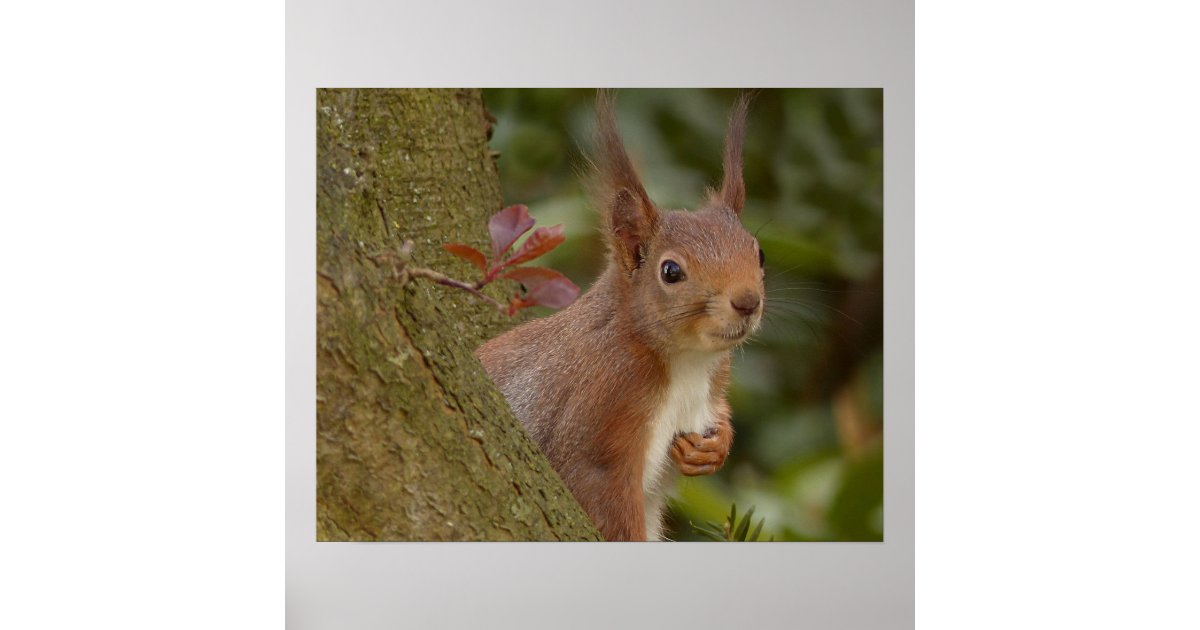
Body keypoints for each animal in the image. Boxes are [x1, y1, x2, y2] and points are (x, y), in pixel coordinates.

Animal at [476, 91, 765, 541]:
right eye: (670, 271)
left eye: (760, 254)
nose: (748, 302)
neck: (687, 361)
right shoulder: (603, 408)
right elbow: (601, 495)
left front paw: (713, 448)